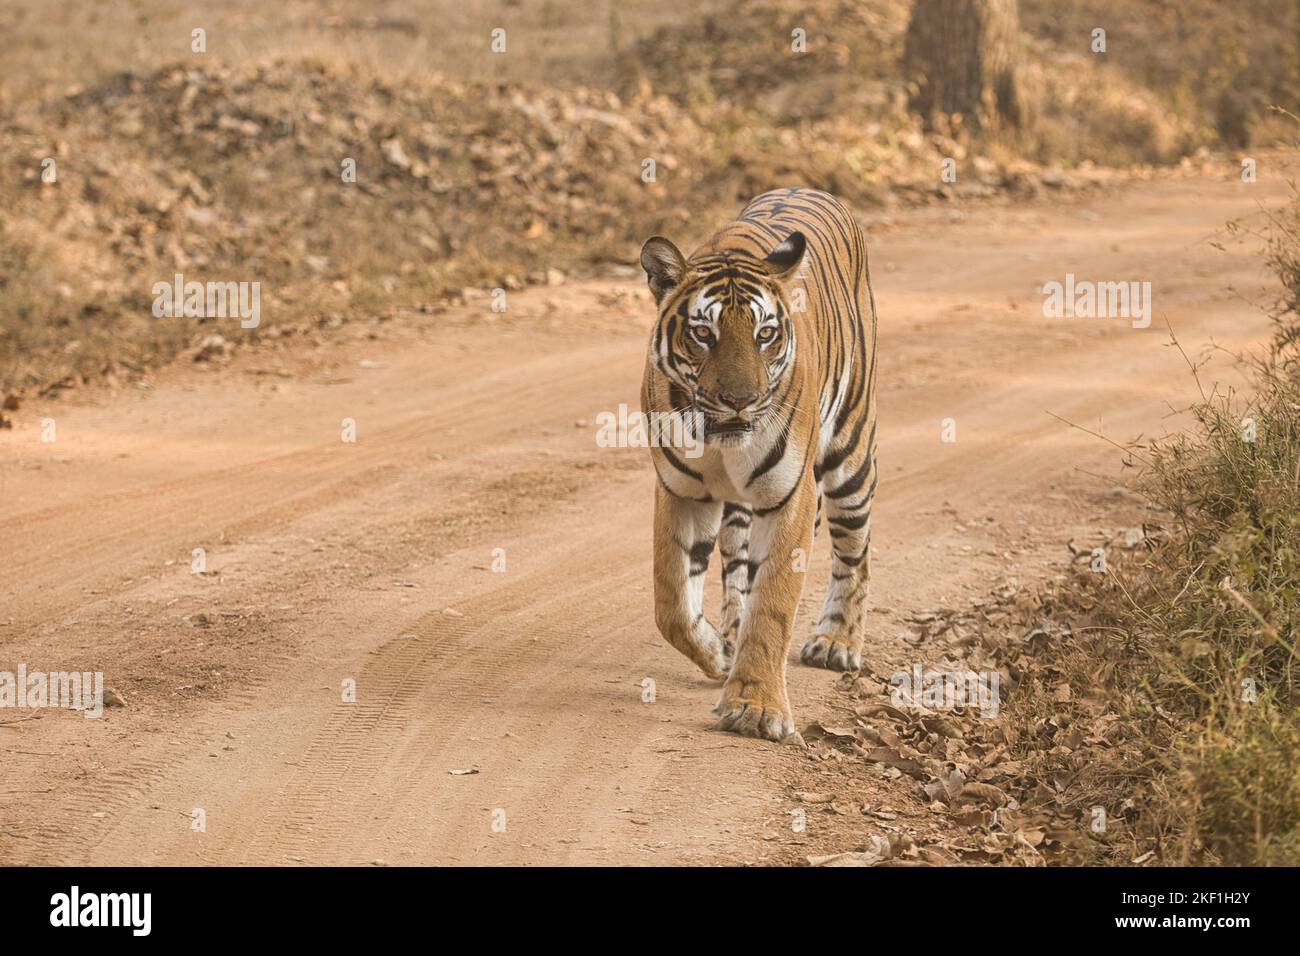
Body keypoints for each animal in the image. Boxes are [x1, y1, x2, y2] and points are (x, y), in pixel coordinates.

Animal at [639, 187, 878, 743]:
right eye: (703, 334)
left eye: (765, 334)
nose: (739, 400)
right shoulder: (682, 491)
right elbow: (672, 601)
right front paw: (717, 654)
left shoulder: (790, 496)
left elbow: (772, 604)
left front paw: (756, 707)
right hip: (737, 511)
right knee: (735, 571)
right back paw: (730, 638)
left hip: (850, 458)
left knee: (855, 552)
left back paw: (837, 642)